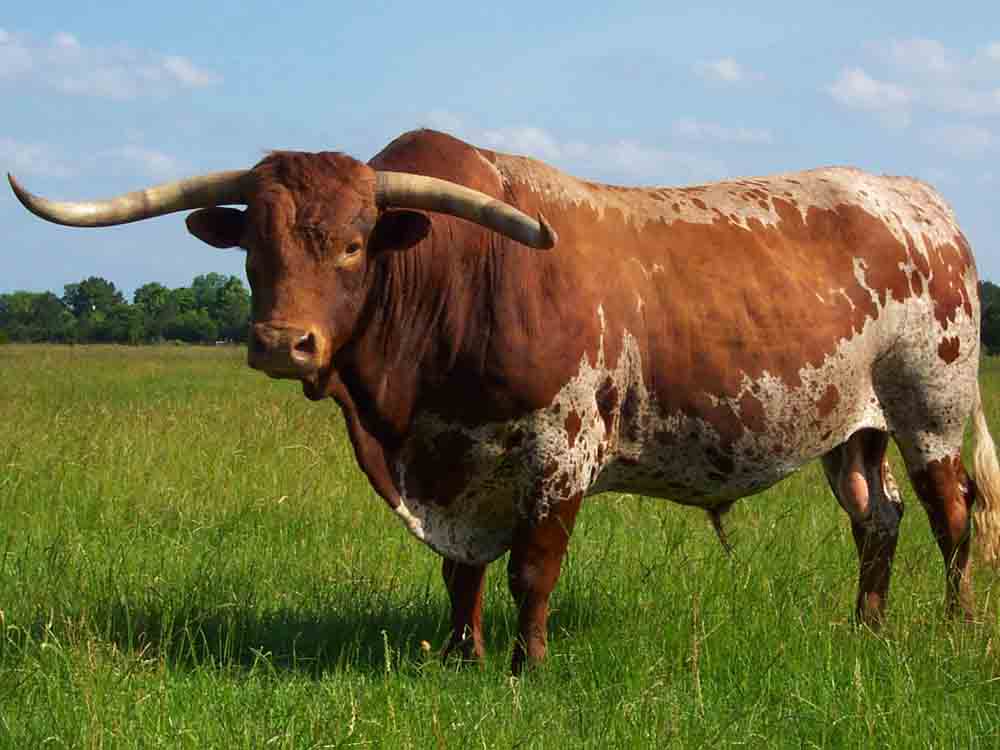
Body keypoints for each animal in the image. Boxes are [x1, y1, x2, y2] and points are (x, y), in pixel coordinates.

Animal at [10, 129, 1000, 673]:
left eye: (356, 243)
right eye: (254, 243)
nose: (281, 343)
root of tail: (921, 202)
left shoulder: (560, 455)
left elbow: (532, 569)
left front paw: (528, 664)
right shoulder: (451, 466)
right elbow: (462, 572)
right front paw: (461, 653)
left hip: (930, 409)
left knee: (952, 515)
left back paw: (953, 625)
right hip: (851, 430)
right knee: (876, 518)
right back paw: (865, 626)